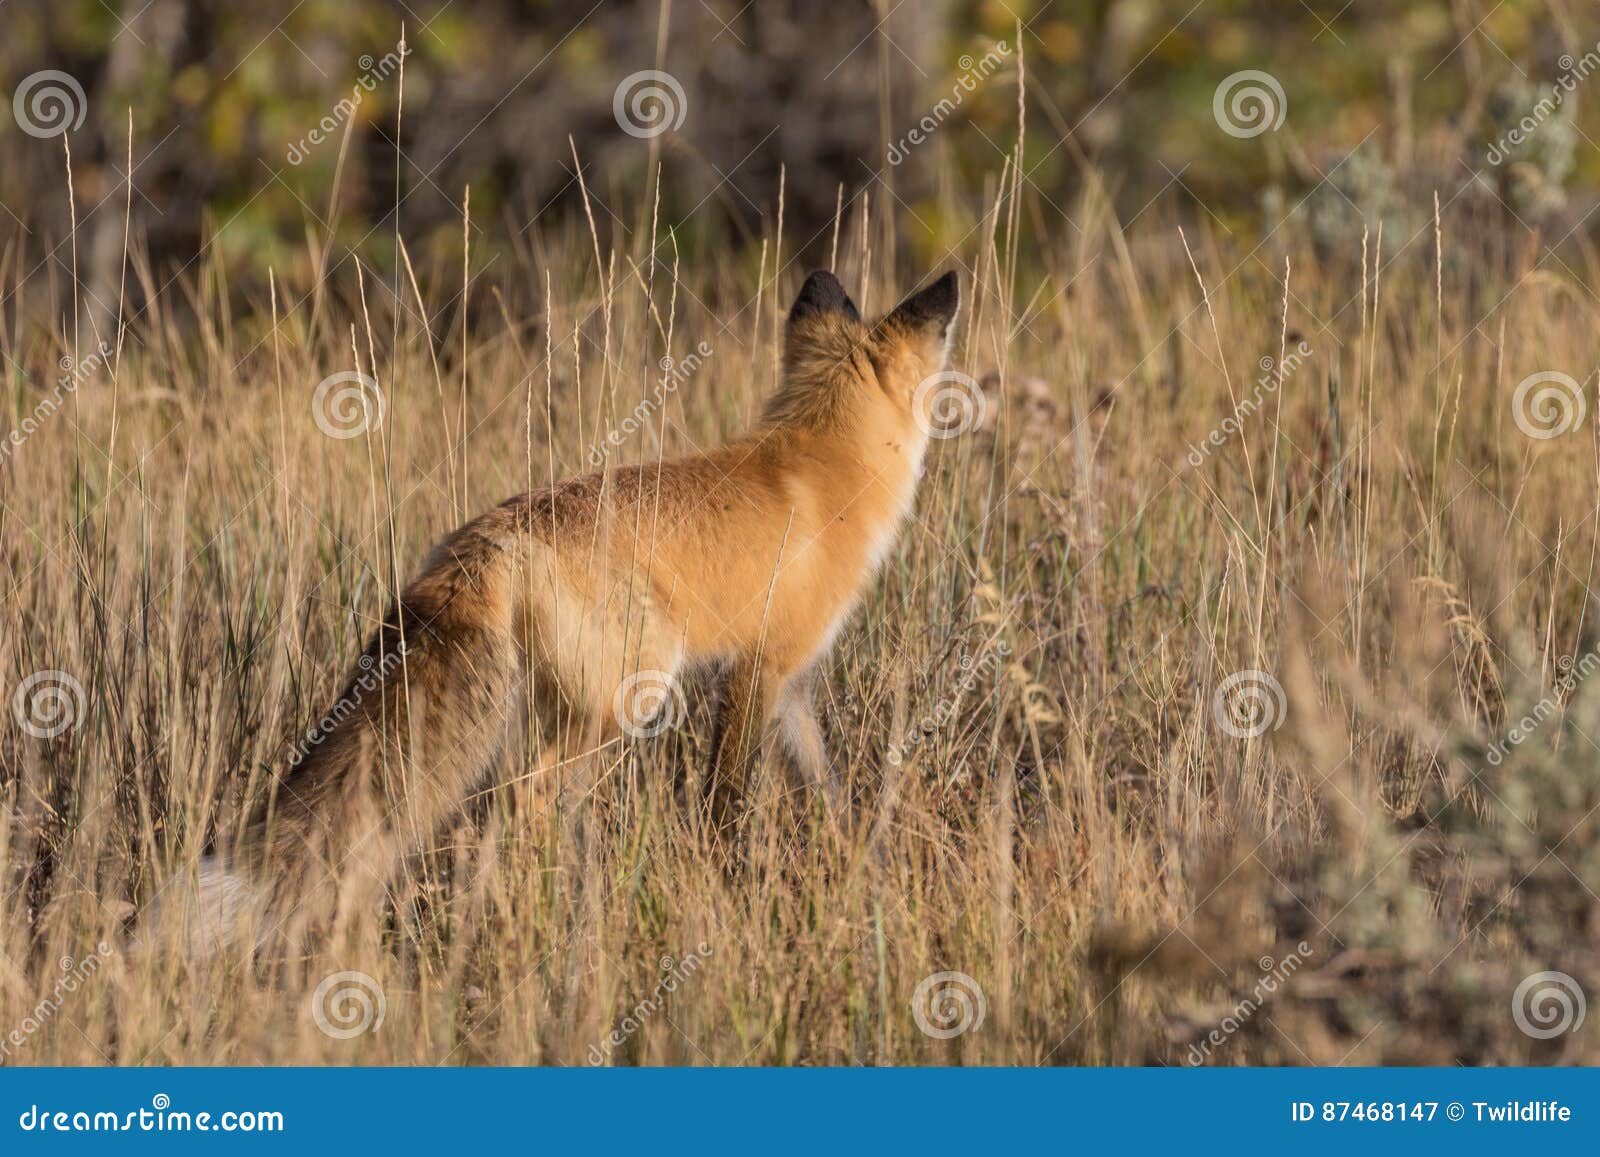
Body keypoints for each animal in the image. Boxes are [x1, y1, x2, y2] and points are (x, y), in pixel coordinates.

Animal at [175, 268, 960, 950]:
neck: (825, 468)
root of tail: (489, 539)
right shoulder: (757, 671)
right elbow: (725, 797)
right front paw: (724, 877)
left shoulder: (792, 687)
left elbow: (830, 794)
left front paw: (865, 866)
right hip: (632, 692)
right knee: (528, 796)